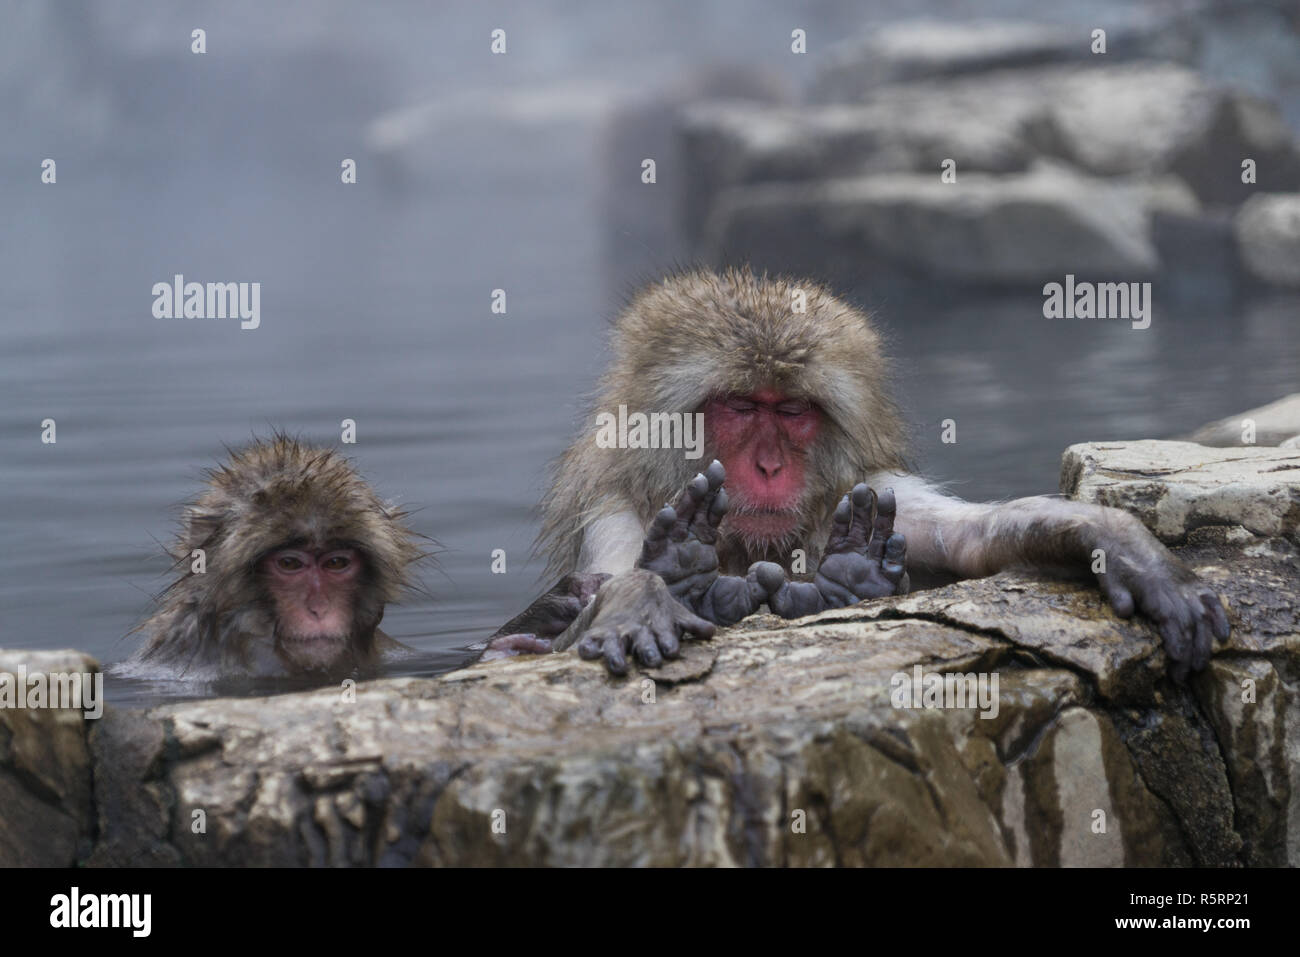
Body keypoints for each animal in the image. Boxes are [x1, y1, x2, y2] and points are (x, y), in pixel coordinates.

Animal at [488, 267, 1229, 681]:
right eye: (739, 407)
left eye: (791, 410)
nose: (769, 465)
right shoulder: (614, 513)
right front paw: (638, 594)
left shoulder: (866, 488)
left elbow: (975, 538)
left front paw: (1120, 543)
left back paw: (845, 579)